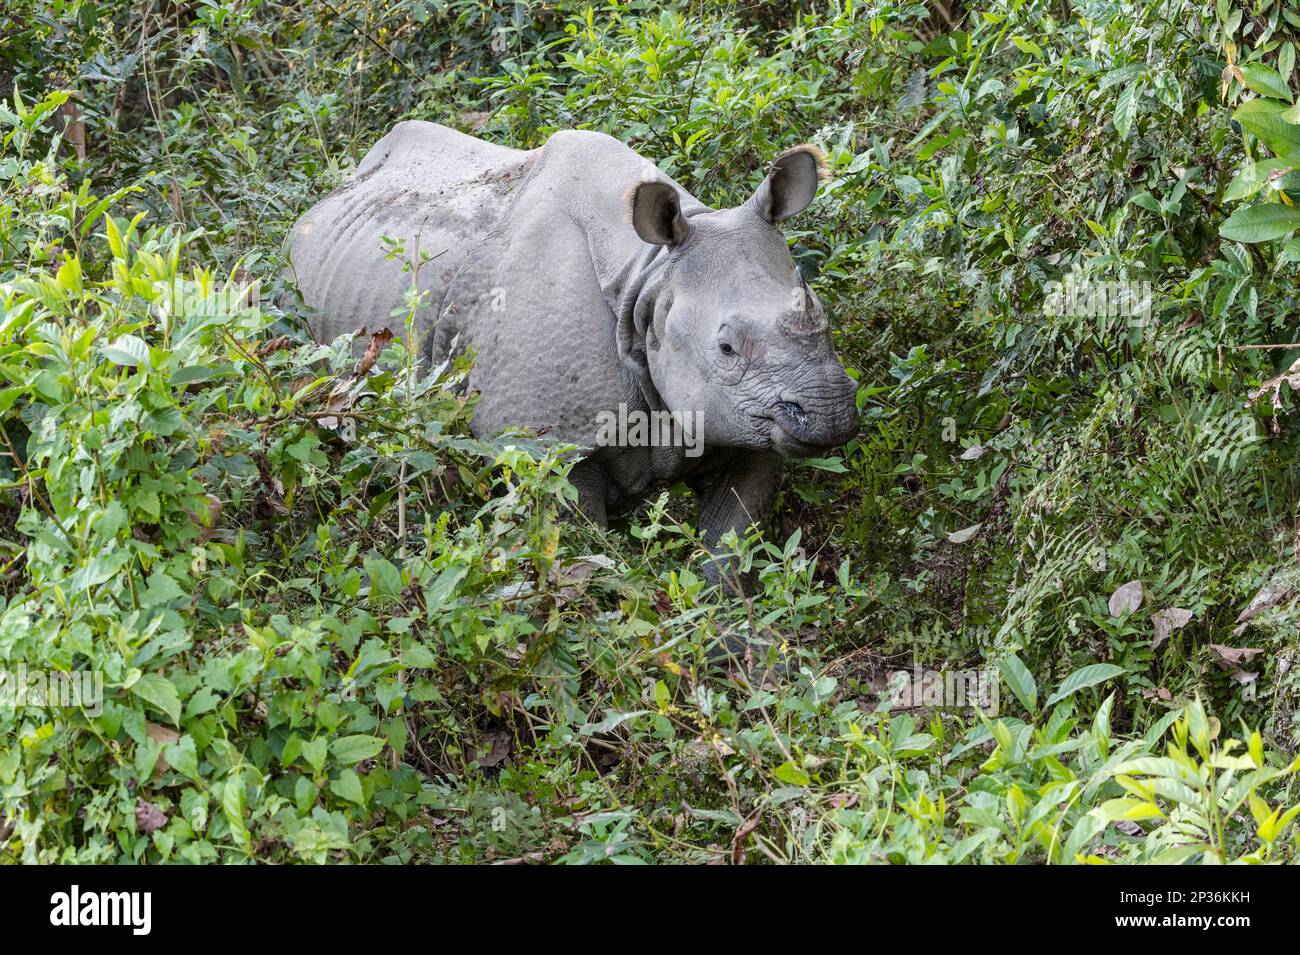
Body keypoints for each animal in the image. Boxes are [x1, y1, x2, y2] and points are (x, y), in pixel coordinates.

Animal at [290, 121, 859, 581]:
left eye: (821, 313)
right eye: (724, 347)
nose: (830, 411)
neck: (649, 278)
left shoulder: (746, 421)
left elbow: (729, 549)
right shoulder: (548, 441)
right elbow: (582, 558)